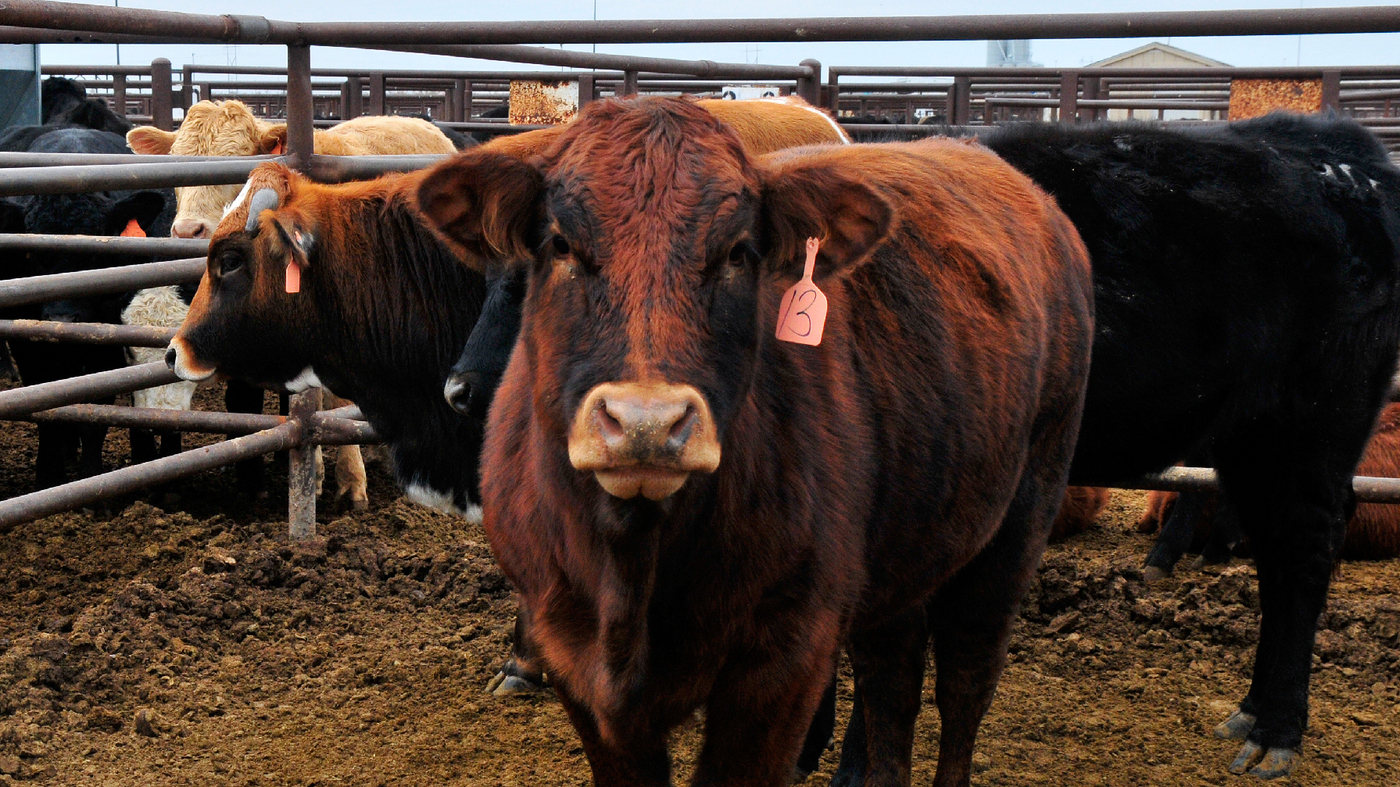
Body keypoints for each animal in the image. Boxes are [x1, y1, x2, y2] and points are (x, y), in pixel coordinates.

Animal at [0, 127, 170, 487]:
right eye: (31, 254)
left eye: (93, 253)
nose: (62, 318)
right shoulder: (27, 344)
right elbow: (47, 410)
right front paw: (48, 479)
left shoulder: (106, 344)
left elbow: (95, 410)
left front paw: (90, 482)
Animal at [407, 96, 1094, 786]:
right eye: (559, 244)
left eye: (739, 252)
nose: (646, 423)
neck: (633, 564)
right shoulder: (572, 655)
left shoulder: (785, 659)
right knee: (892, 682)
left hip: (1021, 519)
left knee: (963, 686)